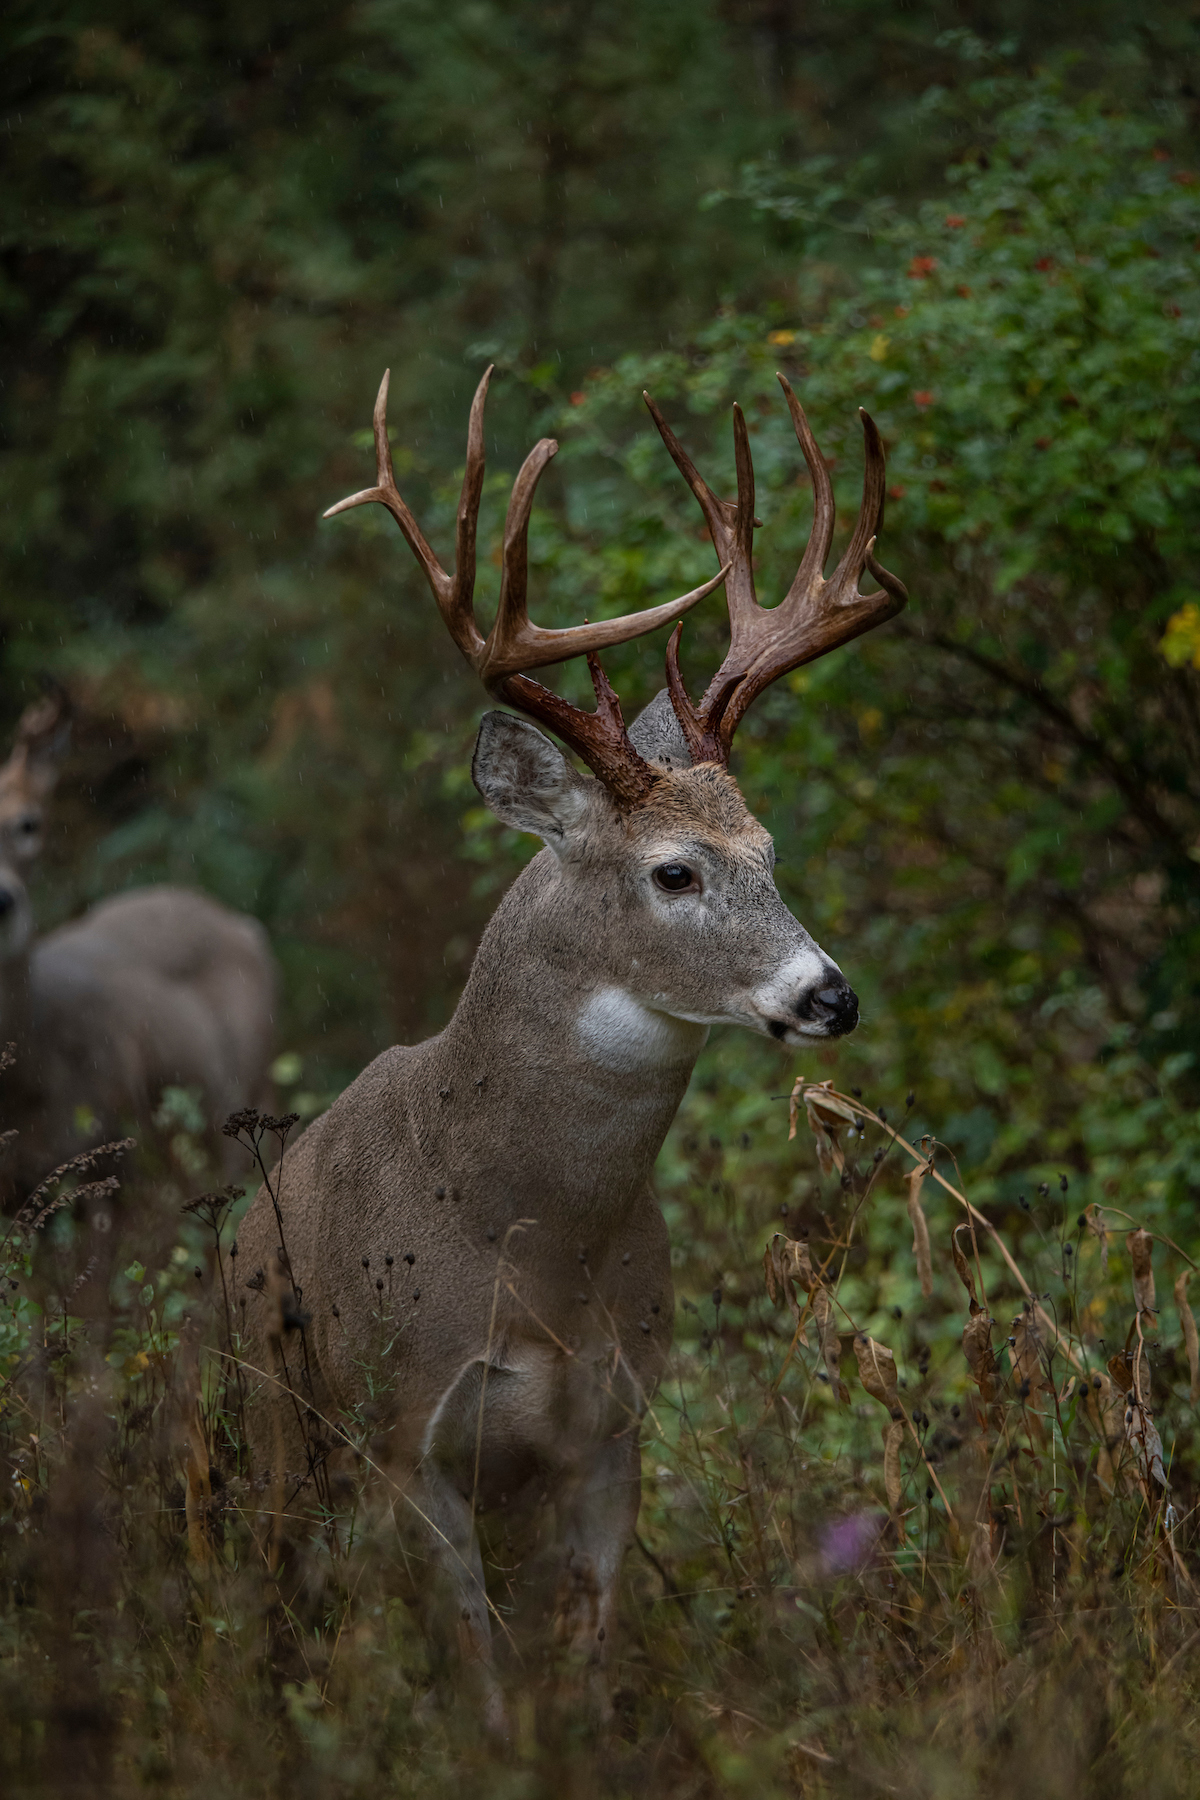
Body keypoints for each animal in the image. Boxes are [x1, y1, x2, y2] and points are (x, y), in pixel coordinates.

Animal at [236, 364, 906, 1732]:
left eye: (769, 849)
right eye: (675, 871)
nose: (830, 997)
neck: (521, 1237)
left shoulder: (614, 1425)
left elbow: (587, 1662)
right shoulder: (404, 1436)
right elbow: (485, 1682)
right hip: (263, 1450)